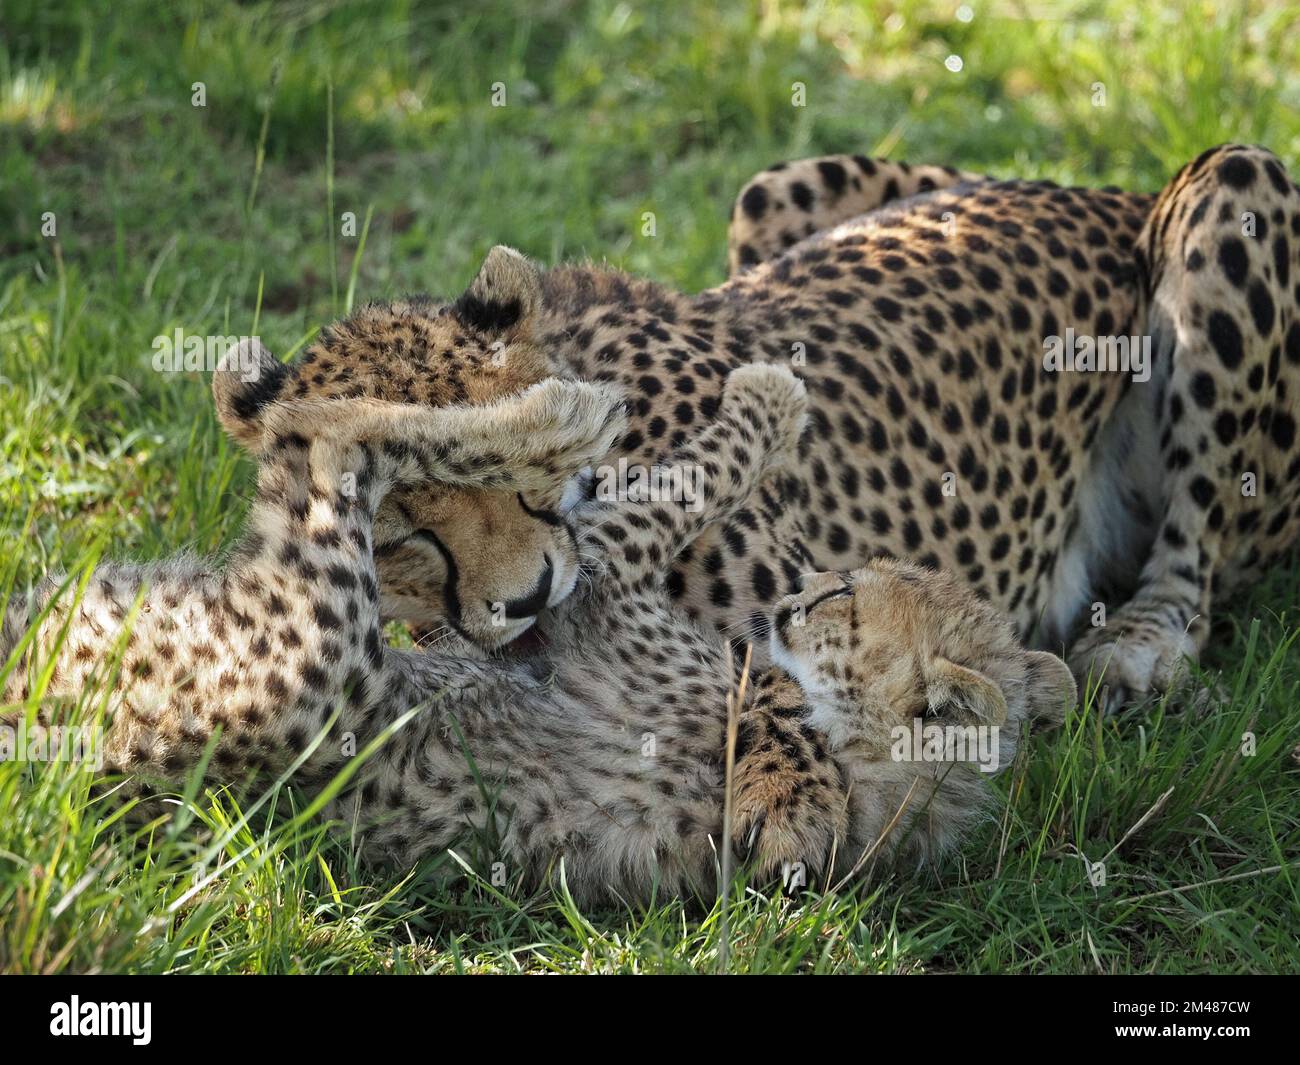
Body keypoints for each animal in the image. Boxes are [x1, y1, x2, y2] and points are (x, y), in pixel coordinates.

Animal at [0, 357, 1074, 901]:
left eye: (843, 598)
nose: (796, 595)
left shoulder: (599, 588)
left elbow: (683, 482)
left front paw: (764, 400)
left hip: (311, 645)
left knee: (330, 434)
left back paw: (560, 413)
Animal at [210, 144, 1300, 718]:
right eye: (403, 530)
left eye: (525, 463)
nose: (526, 596)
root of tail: (1094, 189)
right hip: (775, 187)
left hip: (1237, 185)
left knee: (1198, 552)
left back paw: (1141, 644)